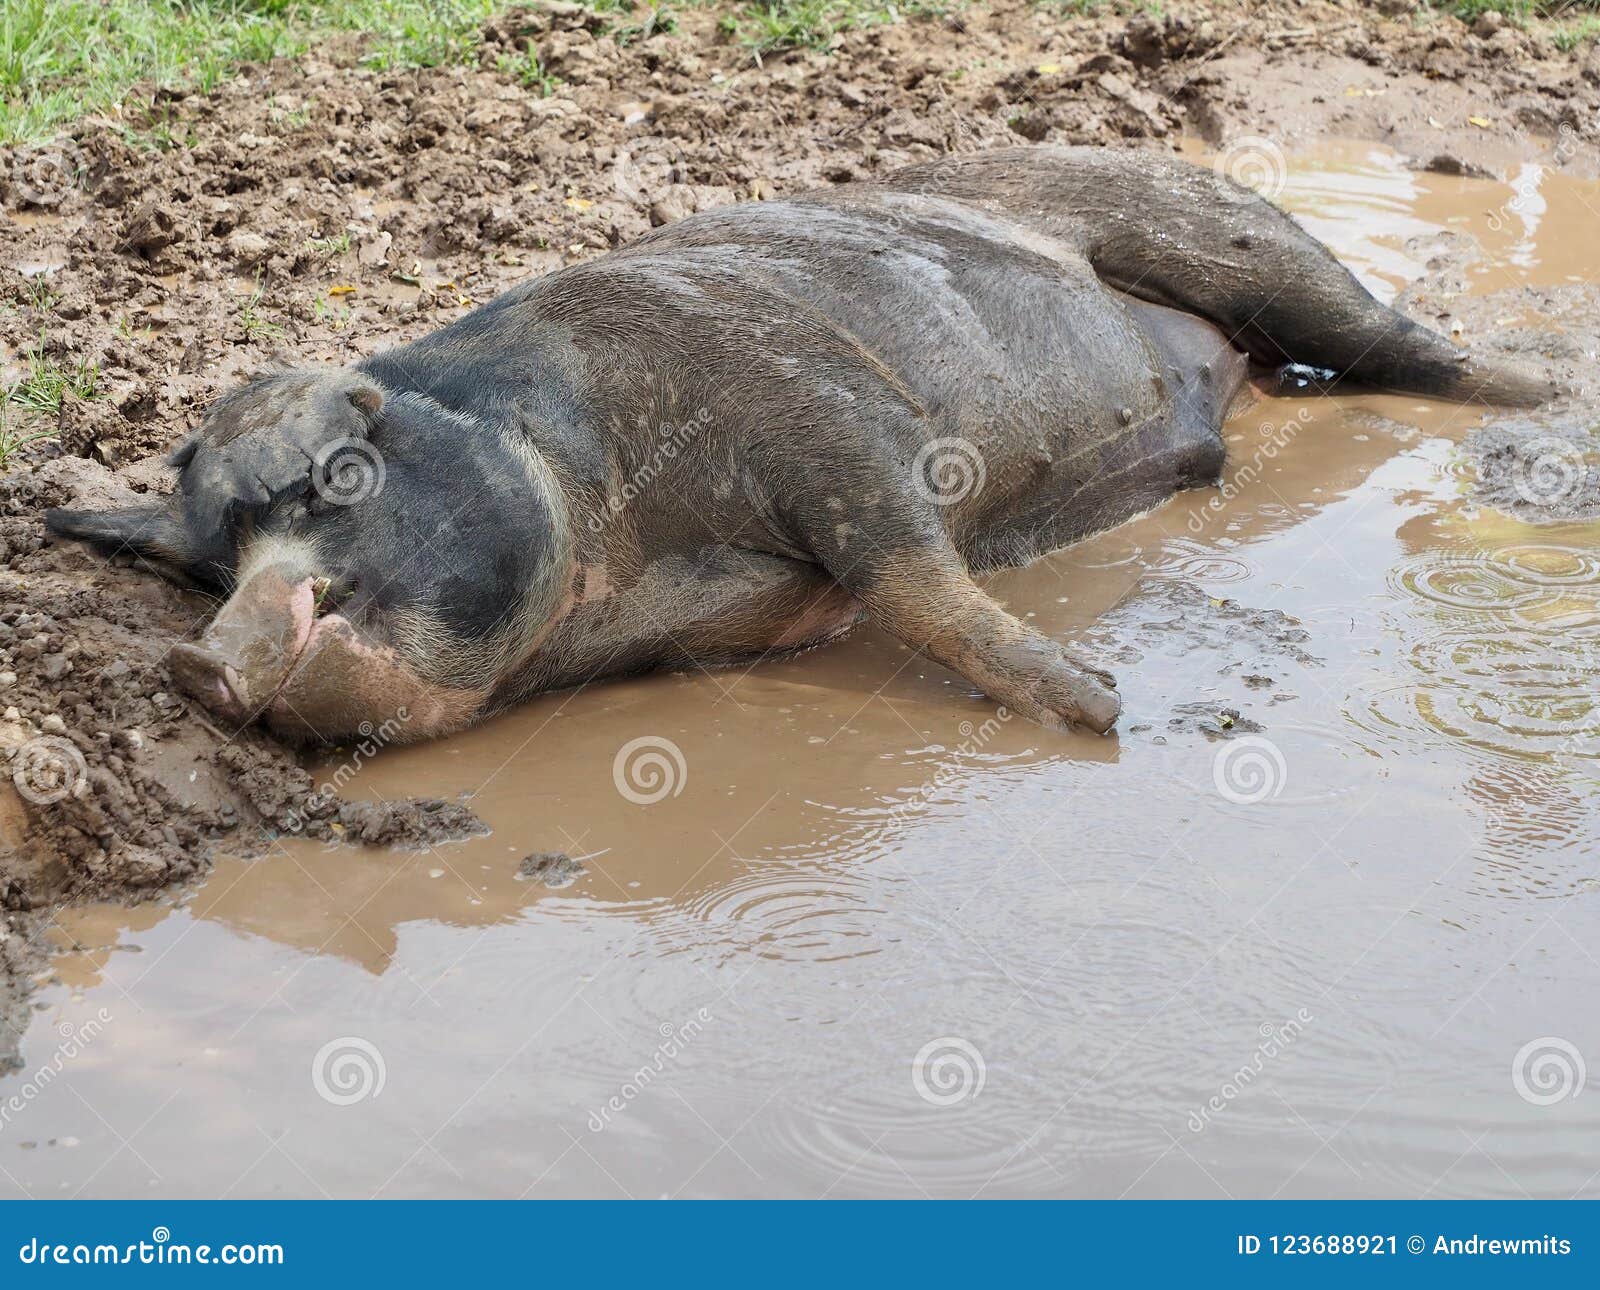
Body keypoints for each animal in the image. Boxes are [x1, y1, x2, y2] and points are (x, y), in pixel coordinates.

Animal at [47, 147, 1552, 743]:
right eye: (207, 565)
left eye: (329, 486)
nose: (199, 661)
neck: (612, 549)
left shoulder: (826, 413)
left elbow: (913, 576)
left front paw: (1097, 707)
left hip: (1225, 229)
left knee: (1394, 342)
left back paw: (1537, 392)